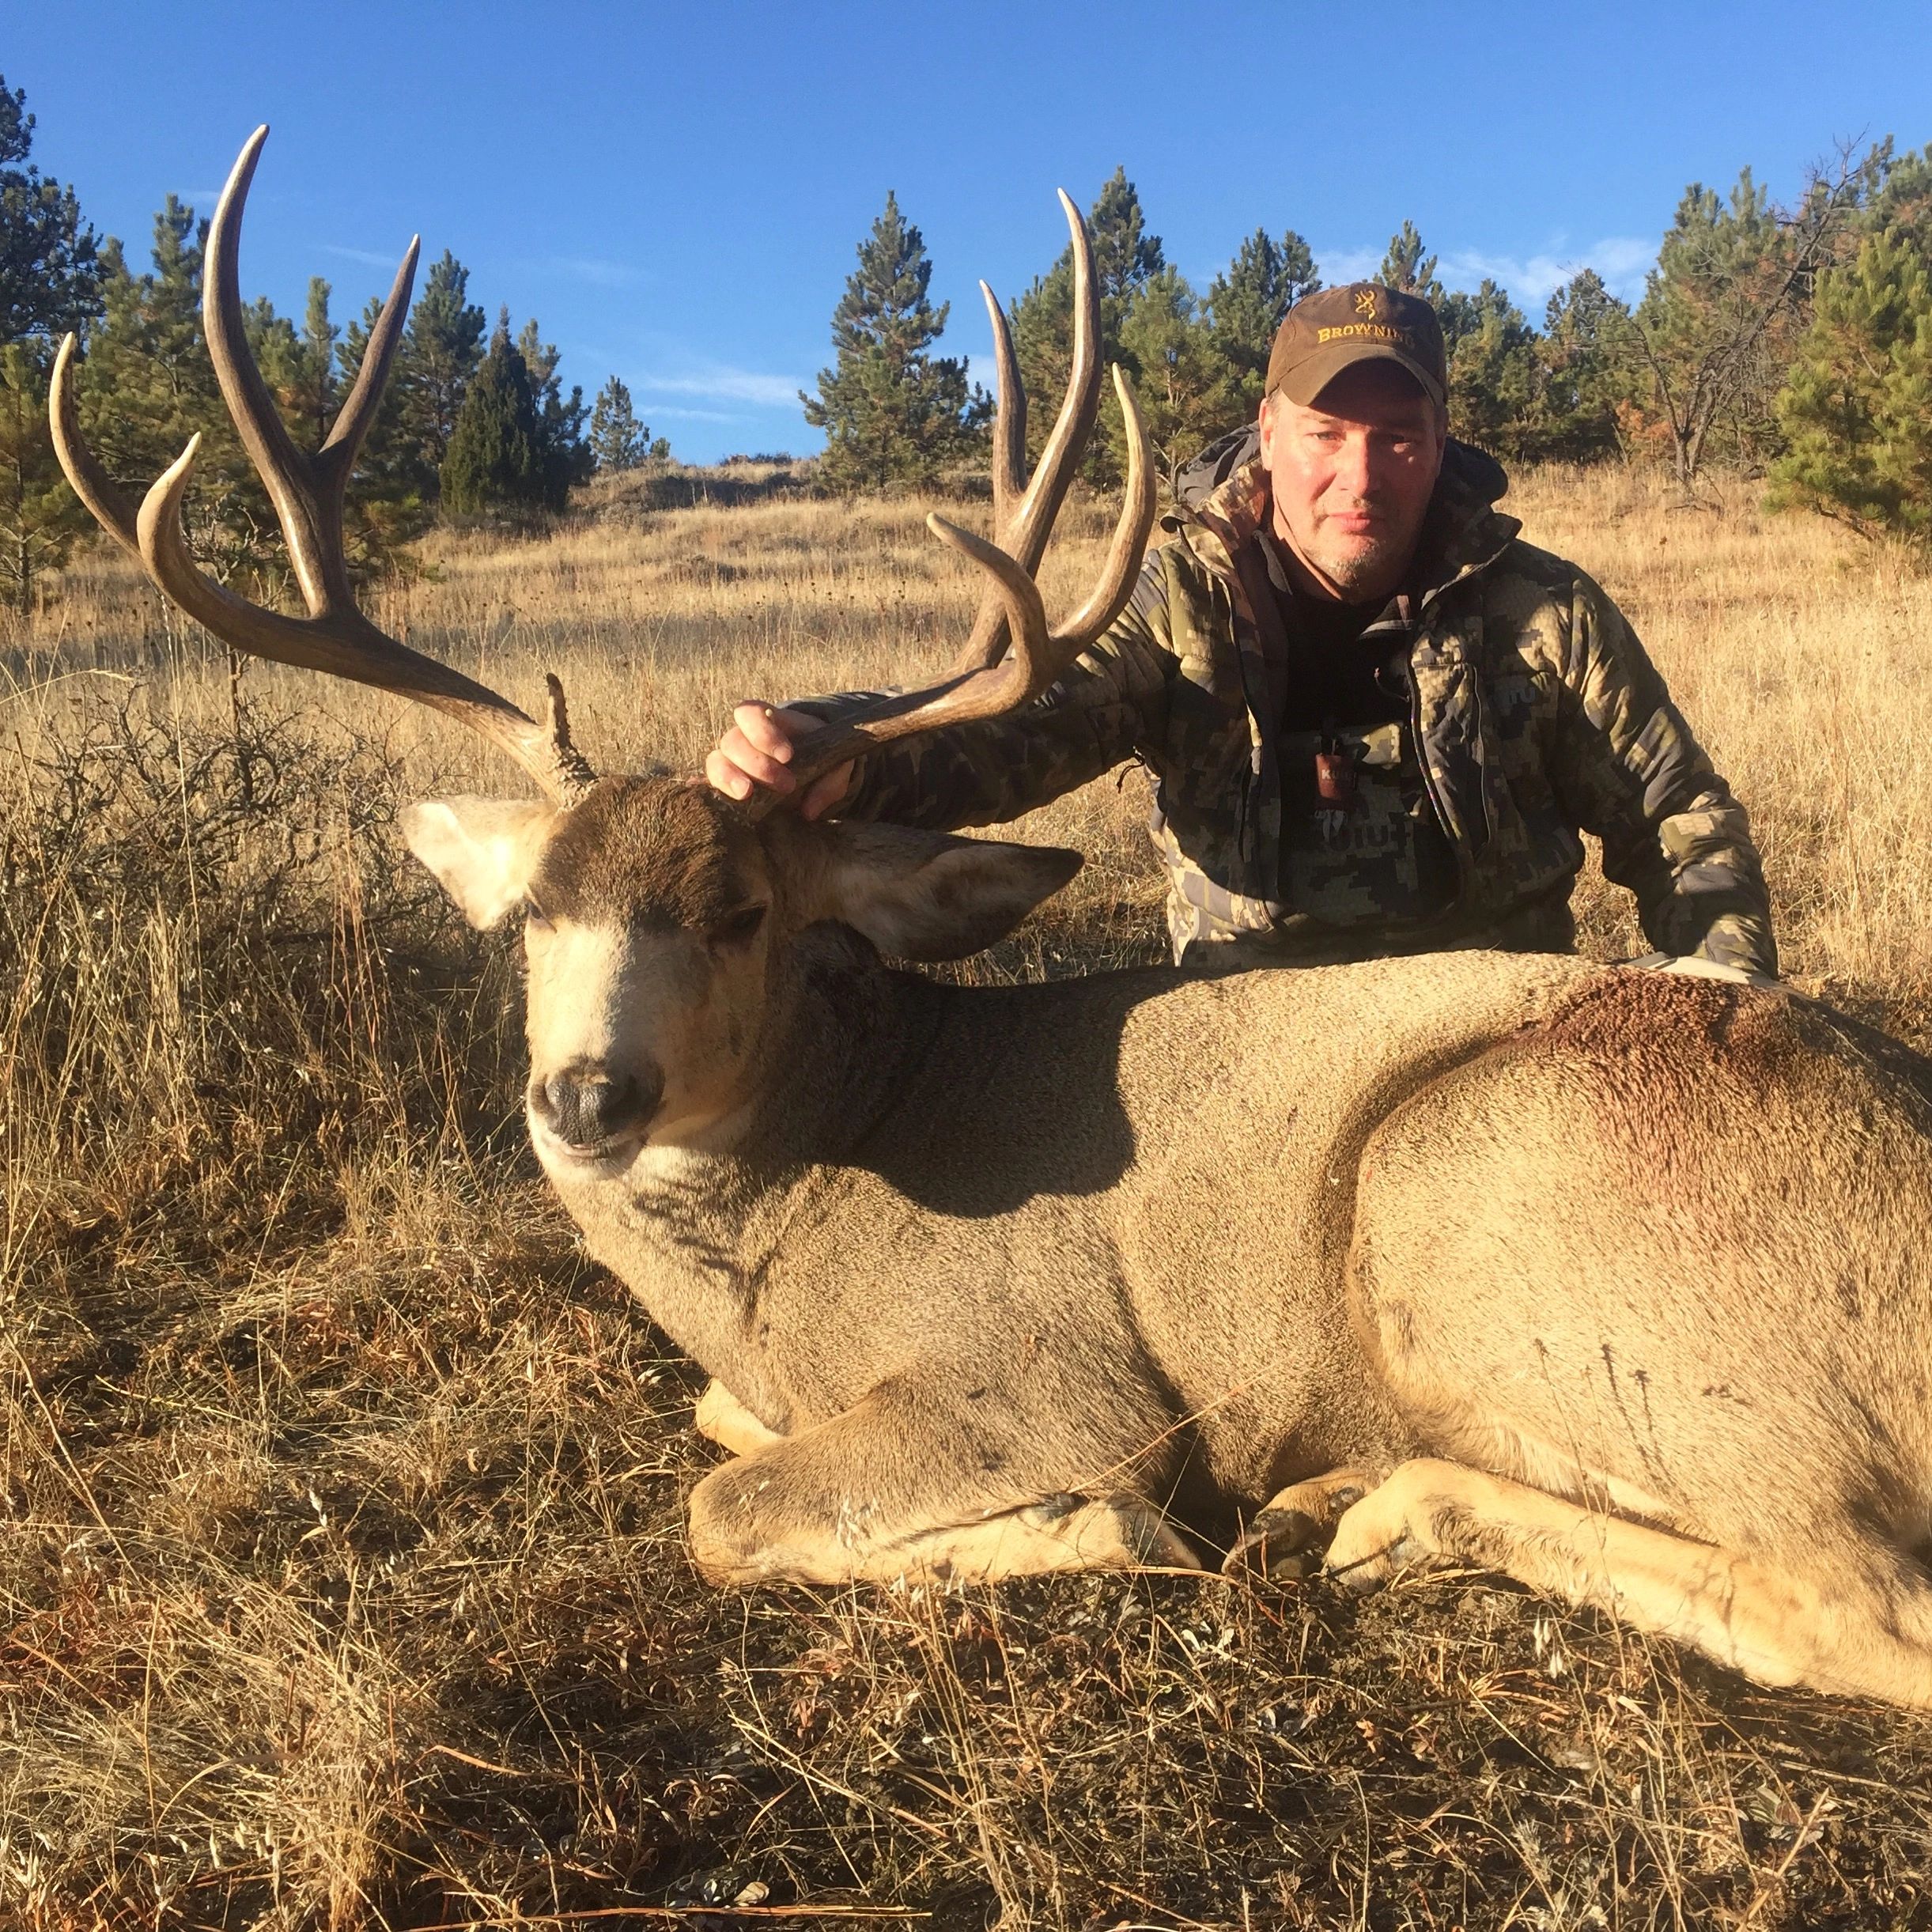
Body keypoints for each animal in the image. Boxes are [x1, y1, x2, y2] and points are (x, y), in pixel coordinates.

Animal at [52, 128, 1932, 1711]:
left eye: (741, 909)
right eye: (531, 917)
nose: (585, 1096)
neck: (807, 1209)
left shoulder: (1046, 1375)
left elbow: (731, 1504)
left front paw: (1101, 1532)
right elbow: (718, 1427)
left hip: (1481, 1198)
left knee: (1858, 1600)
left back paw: (1372, 1509)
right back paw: (1338, 1494)